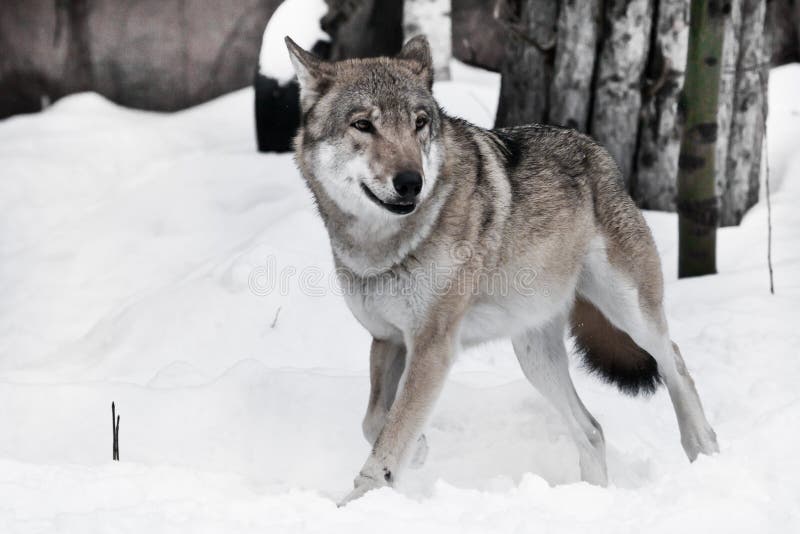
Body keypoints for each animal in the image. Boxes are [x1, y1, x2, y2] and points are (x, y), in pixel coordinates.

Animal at [284, 35, 719, 505]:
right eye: (363, 125)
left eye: (420, 123)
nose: (411, 182)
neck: (382, 248)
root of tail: (598, 151)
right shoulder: (387, 339)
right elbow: (374, 421)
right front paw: (418, 451)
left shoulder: (432, 347)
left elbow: (391, 437)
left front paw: (360, 500)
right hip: (534, 356)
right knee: (592, 431)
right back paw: (591, 498)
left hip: (629, 312)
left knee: (675, 361)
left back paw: (704, 450)